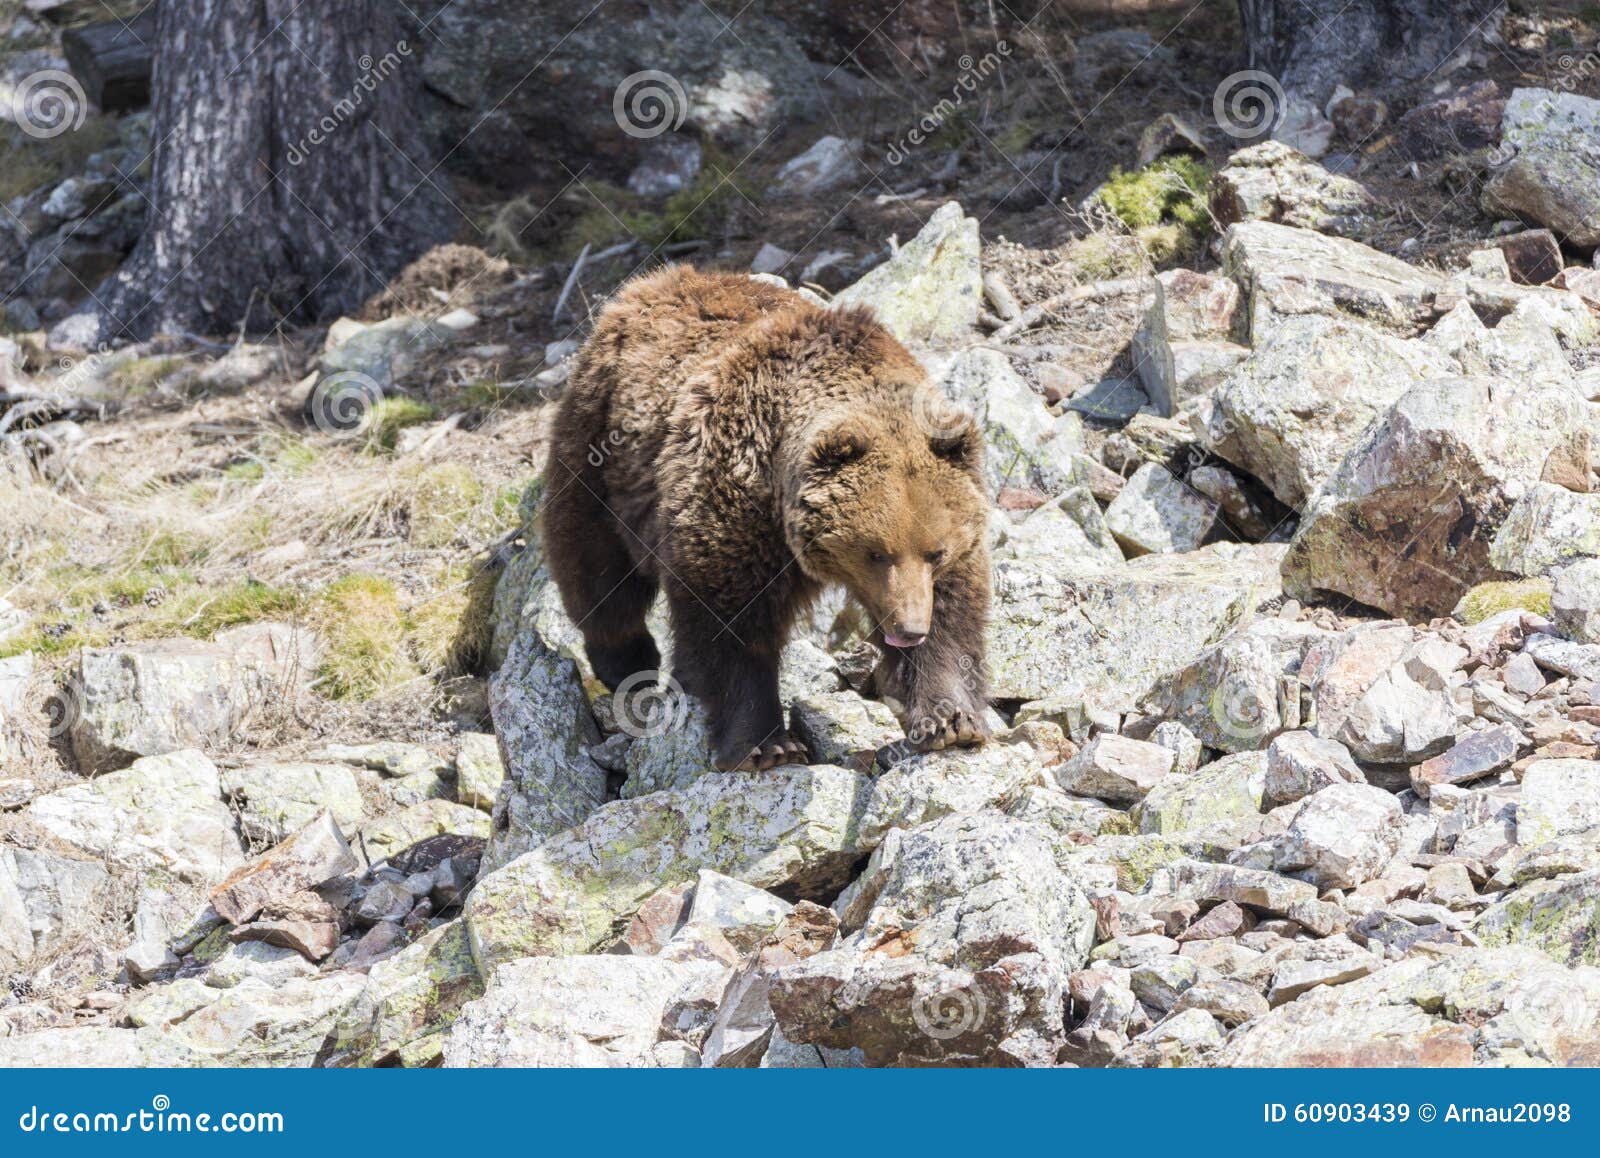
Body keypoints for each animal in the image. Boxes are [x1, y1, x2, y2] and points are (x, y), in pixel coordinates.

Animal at [543, 265, 991, 772]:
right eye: (876, 553)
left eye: (935, 552)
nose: (908, 629)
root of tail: (651, 283)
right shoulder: (737, 502)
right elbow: (732, 622)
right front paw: (767, 744)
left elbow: (955, 612)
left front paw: (949, 720)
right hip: (600, 450)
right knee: (594, 561)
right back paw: (627, 661)